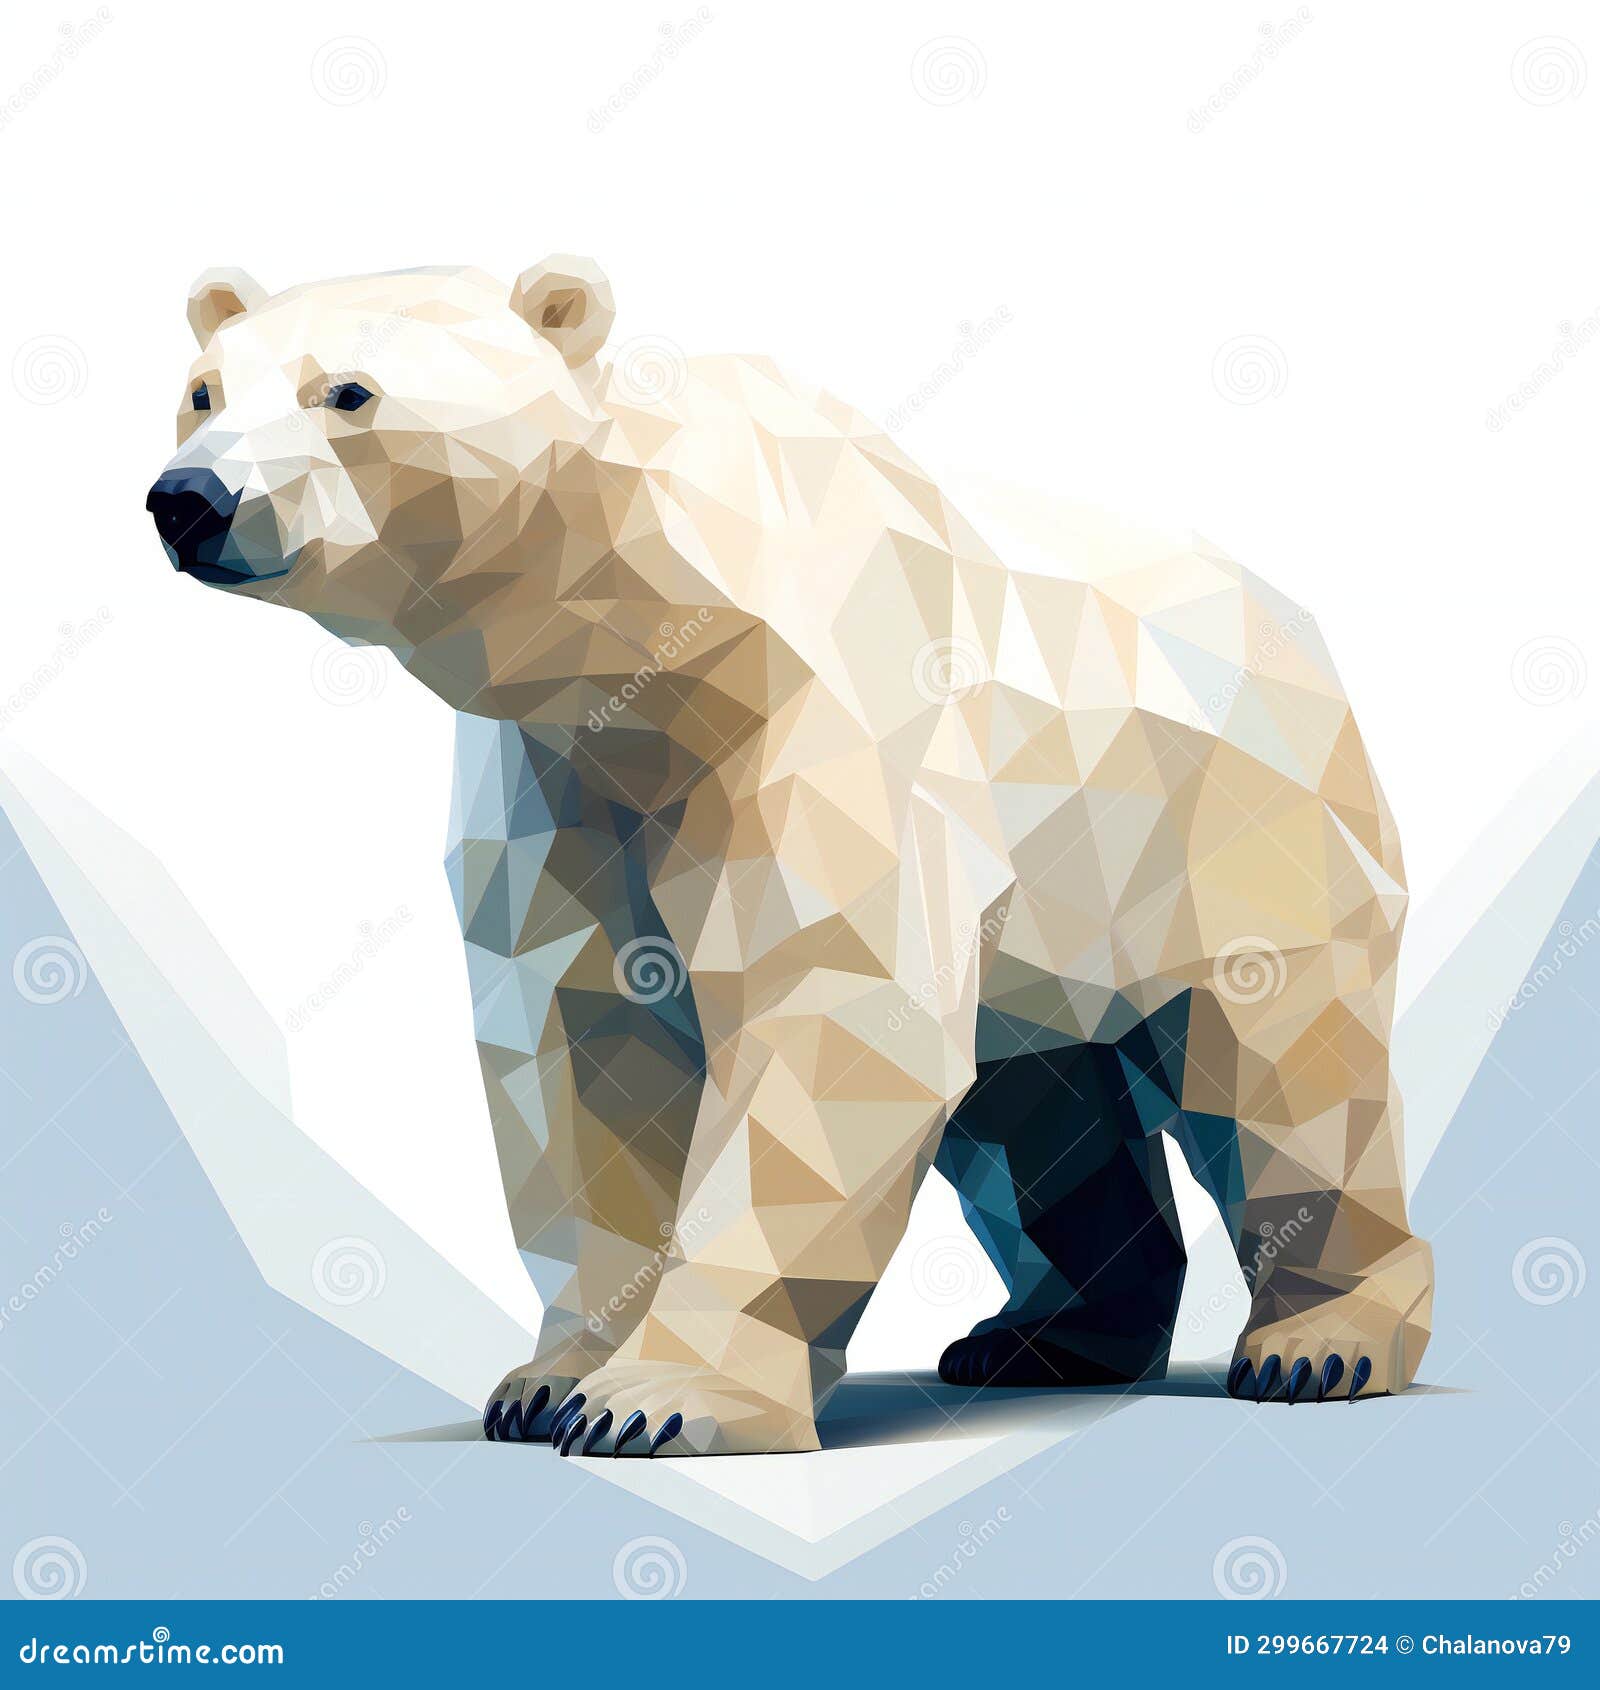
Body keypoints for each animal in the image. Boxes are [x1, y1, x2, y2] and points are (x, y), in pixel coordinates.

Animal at [148, 257, 1434, 1457]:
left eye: (347, 393)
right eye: (200, 390)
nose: (188, 498)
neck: (656, 641)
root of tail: (1295, 628)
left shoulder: (819, 729)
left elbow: (827, 1017)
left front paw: (657, 1400)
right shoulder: (562, 782)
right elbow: (584, 1050)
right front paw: (545, 1383)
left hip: (1231, 836)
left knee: (1281, 1067)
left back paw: (1321, 1341)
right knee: (1033, 1105)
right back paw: (1045, 1333)